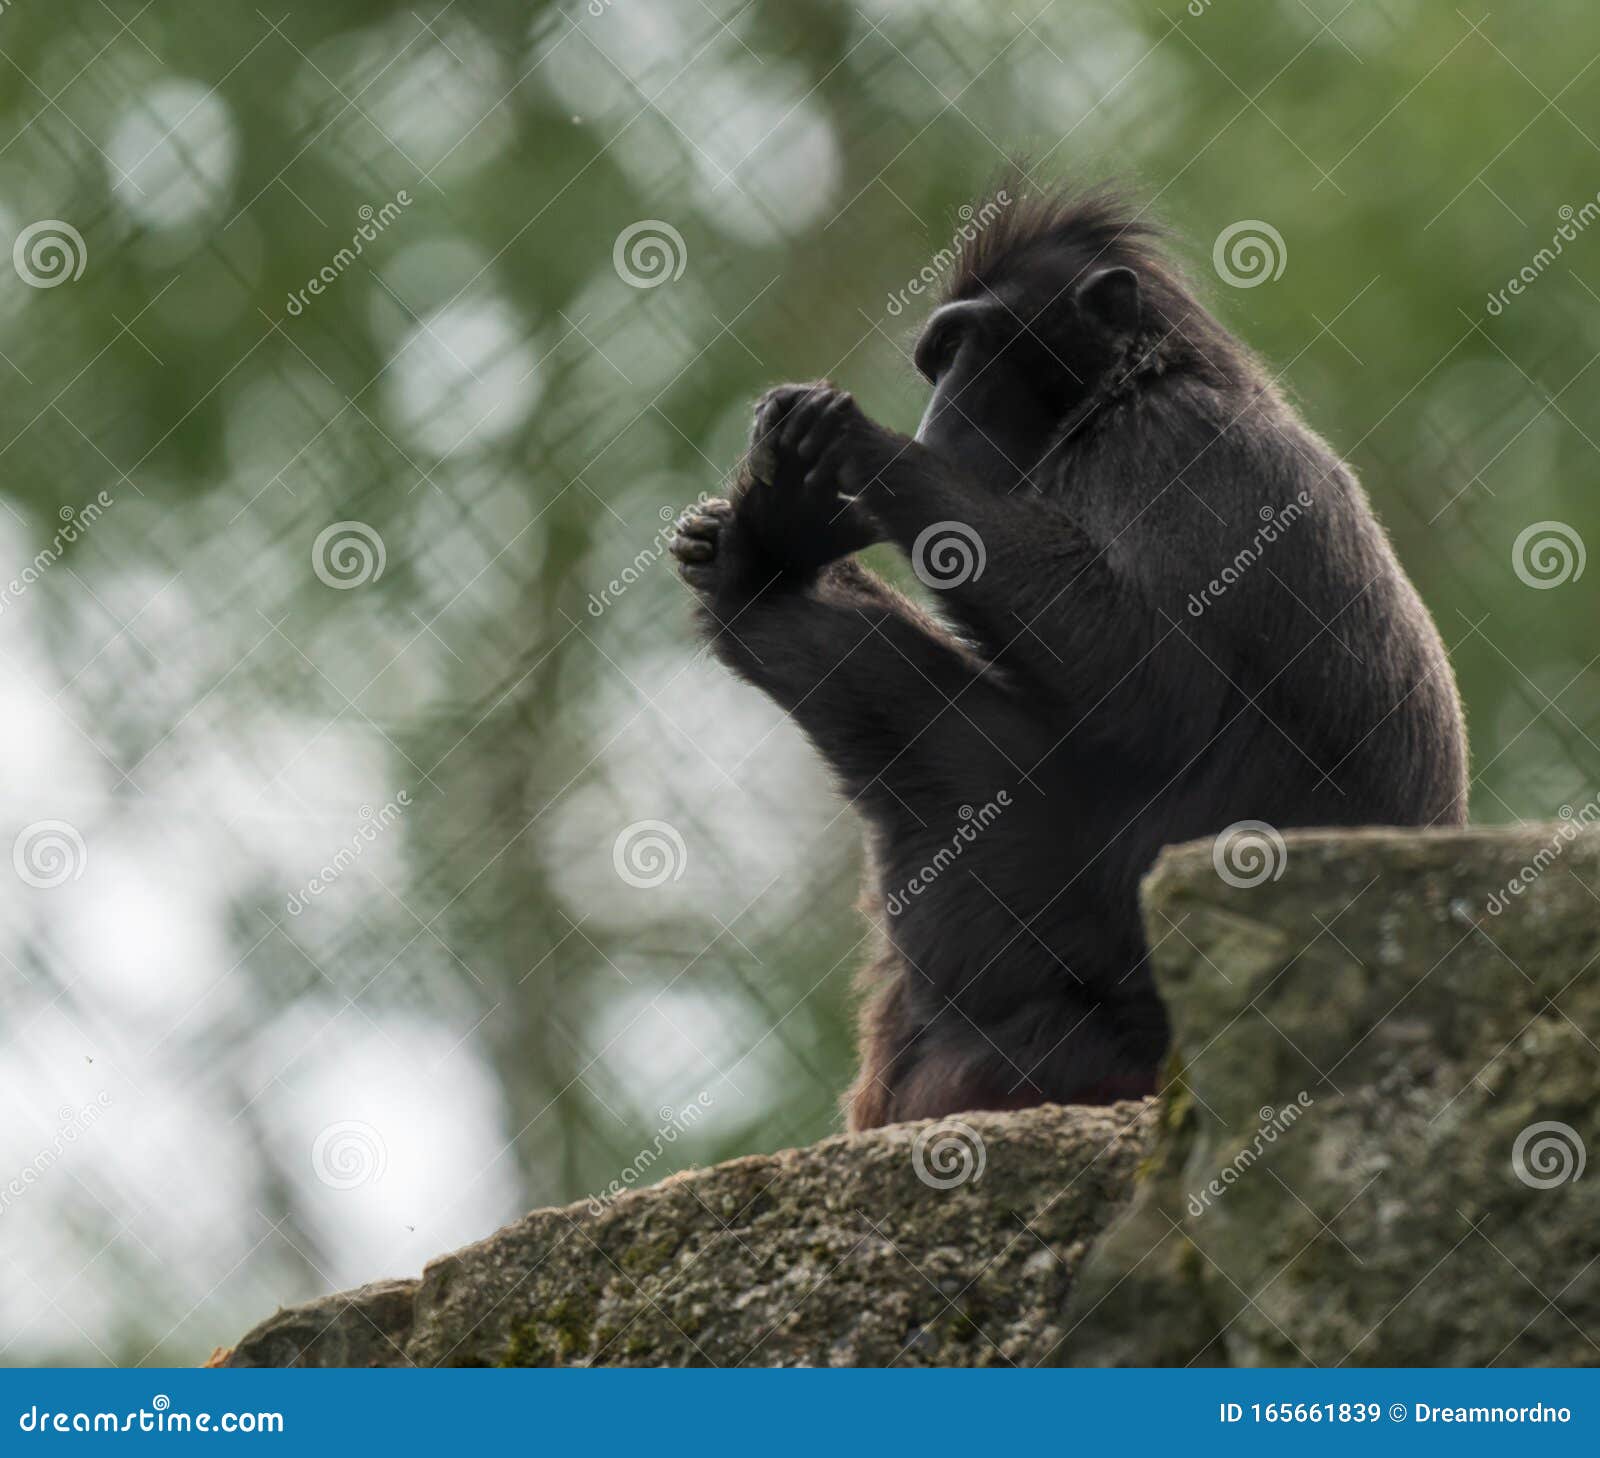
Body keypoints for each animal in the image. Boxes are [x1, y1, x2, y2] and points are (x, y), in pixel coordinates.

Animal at [669, 183, 1469, 1132]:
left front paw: (862, 451)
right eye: (938, 360)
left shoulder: (1171, 443)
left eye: (961, 348)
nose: (938, 415)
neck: (1128, 388)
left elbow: (1151, 693)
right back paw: (756, 593)